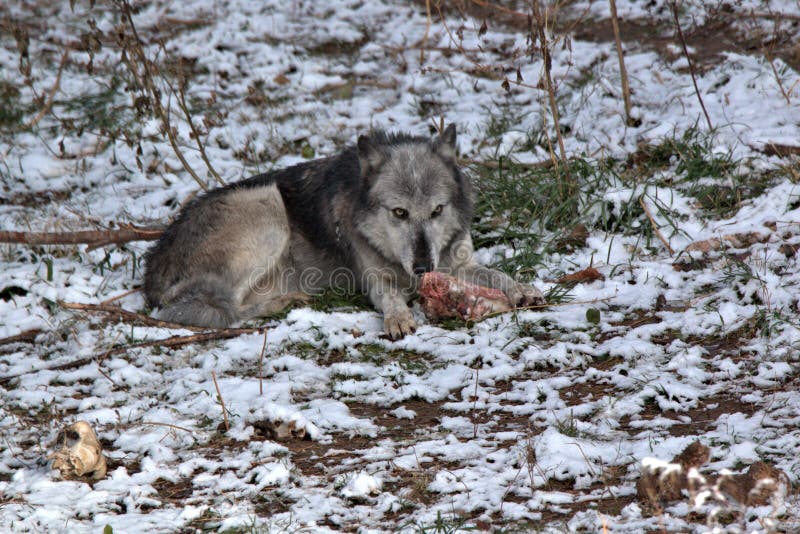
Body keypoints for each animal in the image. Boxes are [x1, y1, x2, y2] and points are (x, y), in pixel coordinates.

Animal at [144, 125, 544, 339]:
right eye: (399, 213)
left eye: (437, 211)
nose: (422, 269)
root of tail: (153, 264)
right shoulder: (375, 279)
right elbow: (390, 297)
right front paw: (399, 318)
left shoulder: (459, 266)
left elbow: (497, 274)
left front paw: (522, 289)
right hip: (268, 208)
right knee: (226, 310)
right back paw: (289, 301)